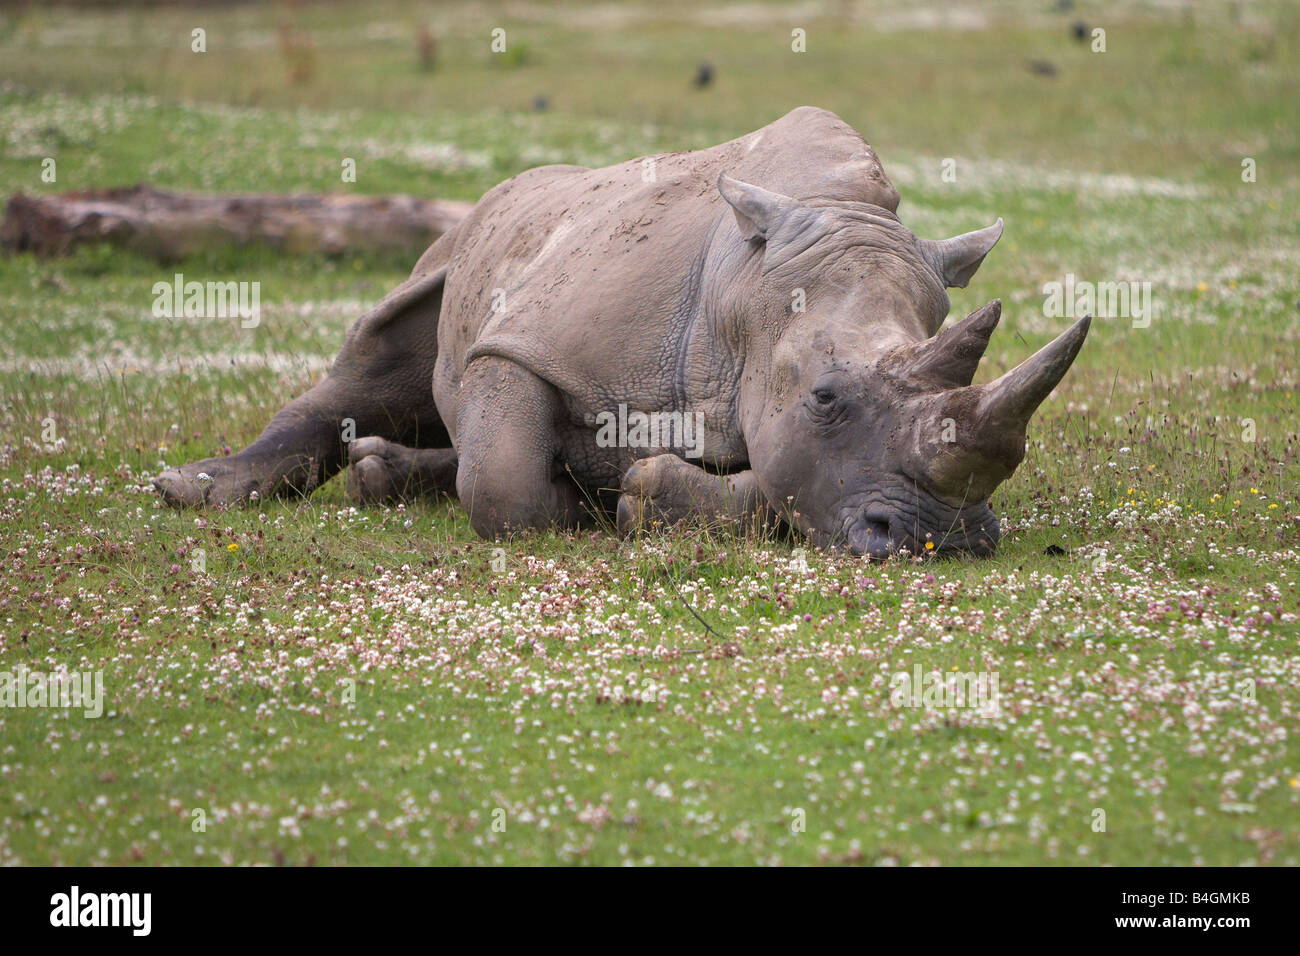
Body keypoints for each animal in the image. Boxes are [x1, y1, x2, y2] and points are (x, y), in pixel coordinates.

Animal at [155, 106, 1089, 558]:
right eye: (825, 396)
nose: (945, 538)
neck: (744, 298)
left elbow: (773, 484)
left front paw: (639, 497)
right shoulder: (528, 342)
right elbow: (505, 484)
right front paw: (582, 501)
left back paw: (383, 475)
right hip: (462, 247)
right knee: (380, 358)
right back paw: (192, 491)